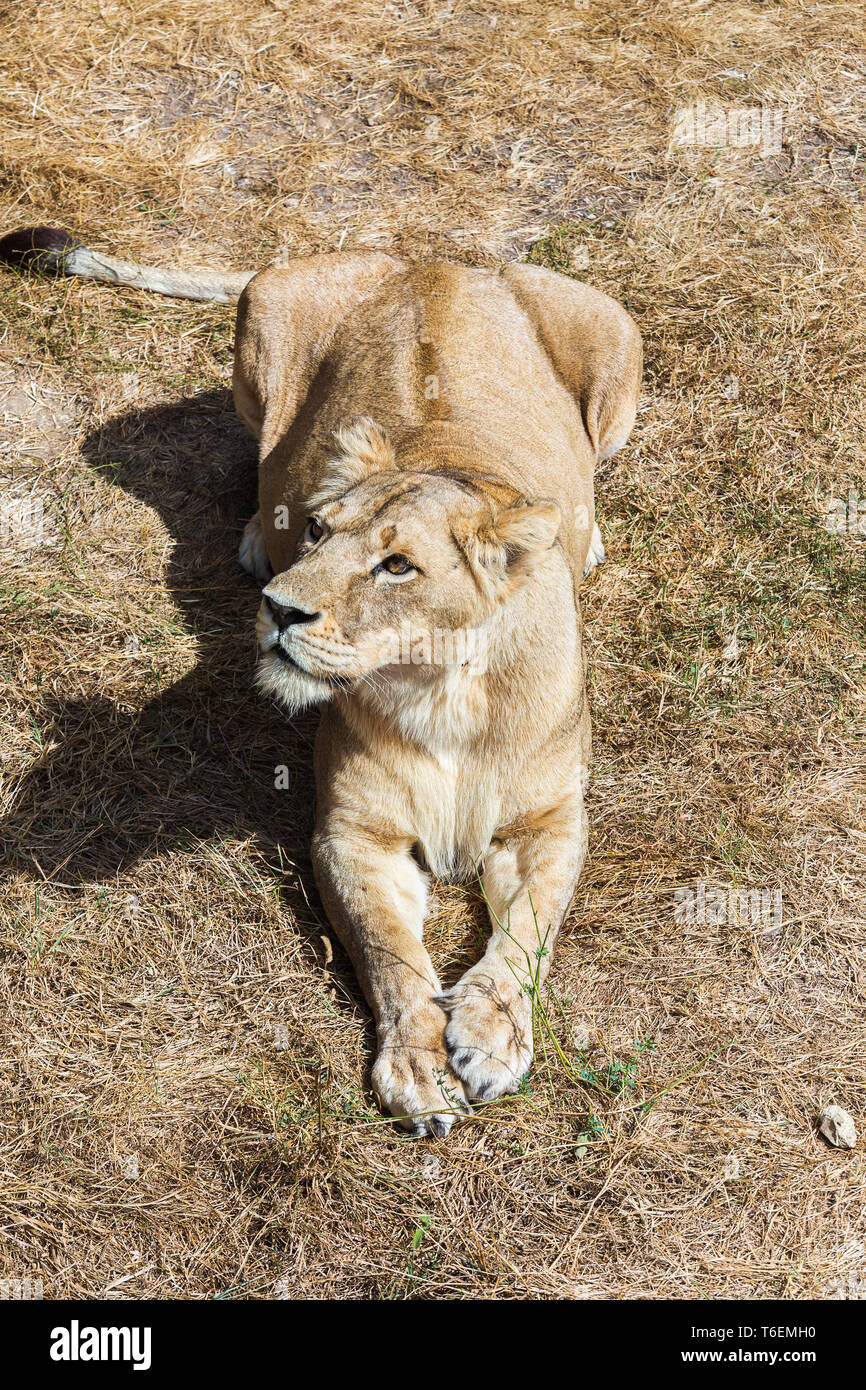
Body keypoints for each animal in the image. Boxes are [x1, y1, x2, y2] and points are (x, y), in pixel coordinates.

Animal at [1, 229, 642, 1134]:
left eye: (397, 565)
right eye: (315, 530)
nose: (277, 608)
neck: (442, 686)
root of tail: (432, 261)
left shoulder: (549, 824)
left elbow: (527, 932)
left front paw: (489, 1035)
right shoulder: (354, 835)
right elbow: (390, 956)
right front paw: (418, 1066)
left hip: (615, 339)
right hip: (260, 314)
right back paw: (244, 540)